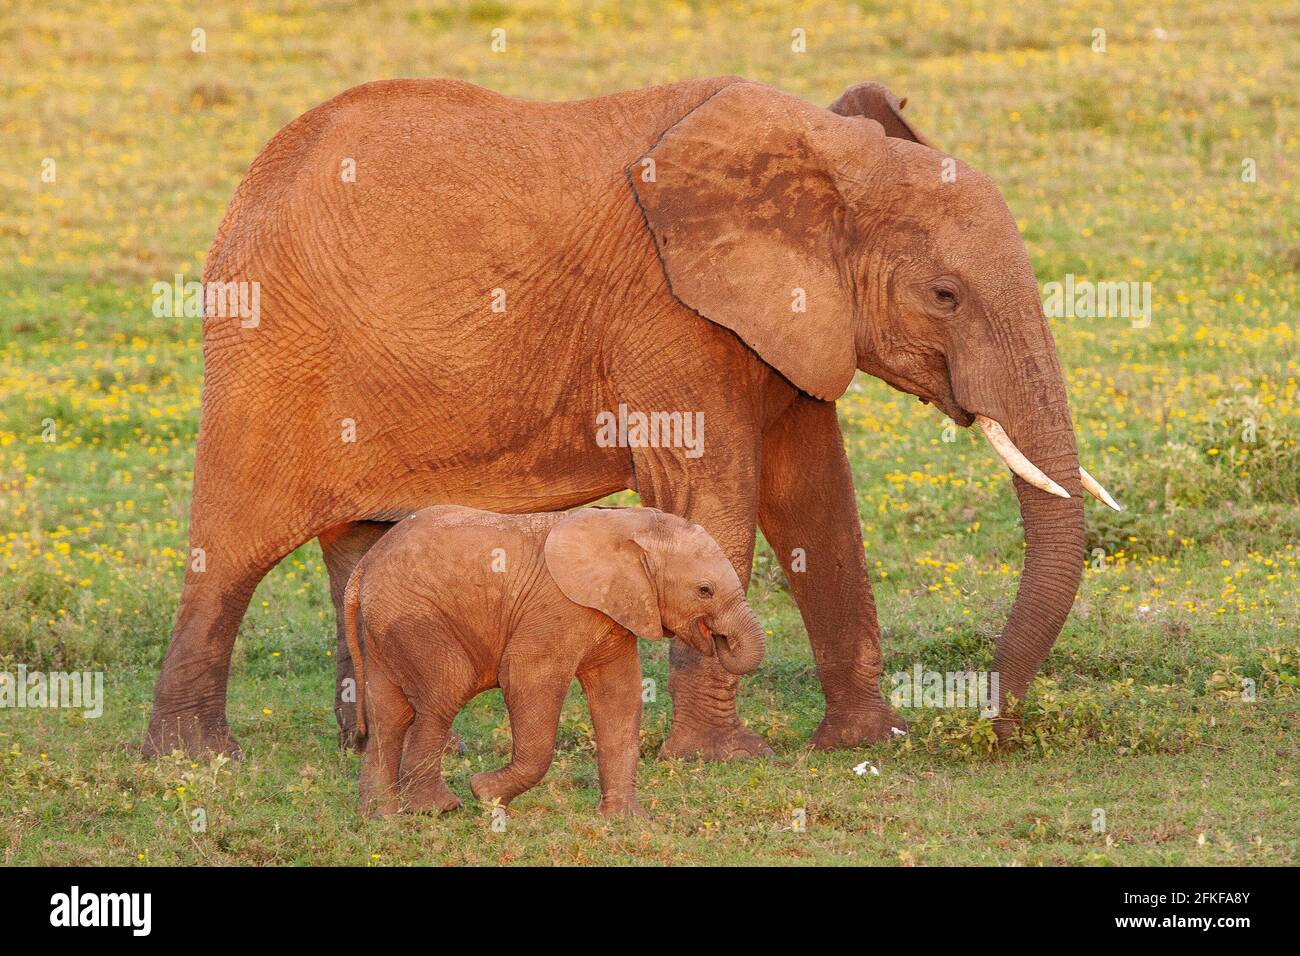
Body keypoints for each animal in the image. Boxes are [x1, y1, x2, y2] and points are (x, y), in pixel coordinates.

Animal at [144, 76, 1118, 759]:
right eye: (945, 295)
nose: (991, 728)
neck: (826, 156)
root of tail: (252, 183)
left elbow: (818, 505)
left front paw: (868, 744)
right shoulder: (667, 310)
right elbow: (713, 495)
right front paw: (723, 759)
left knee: (362, 545)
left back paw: (385, 746)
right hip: (267, 348)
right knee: (231, 550)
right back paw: (198, 761)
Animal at [344, 505, 765, 817]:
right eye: (704, 591)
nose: (720, 641)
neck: (630, 524)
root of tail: (364, 566)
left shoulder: (612, 613)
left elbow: (620, 697)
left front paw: (627, 822)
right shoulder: (557, 608)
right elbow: (526, 678)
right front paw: (485, 794)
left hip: (385, 622)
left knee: (389, 712)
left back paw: (380, 816)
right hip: (414, 615)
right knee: (445, 689)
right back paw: (437, 809)